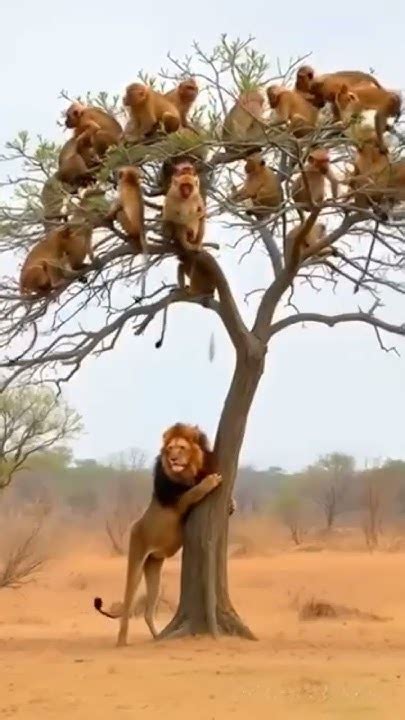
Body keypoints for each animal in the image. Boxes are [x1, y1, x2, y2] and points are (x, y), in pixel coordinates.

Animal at [93, 422, 235, 647]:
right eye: (169, 448)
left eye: (181, 448)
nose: (173, 459)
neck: (190, 470)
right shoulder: (178, 504)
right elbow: (193, 492)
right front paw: (211, 481)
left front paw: (232, 504)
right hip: (136, 558)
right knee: (127, 606)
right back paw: (122, 642)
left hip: (154, 568)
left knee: (148, 612)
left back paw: (157, 636)